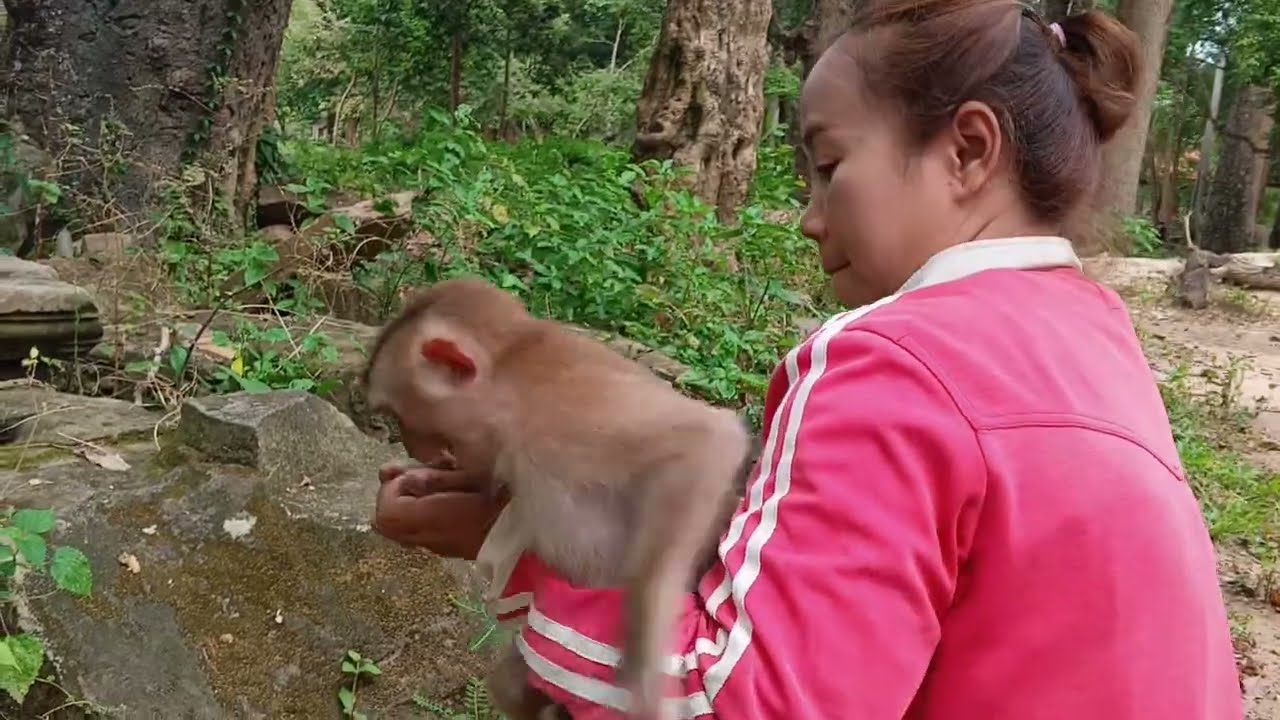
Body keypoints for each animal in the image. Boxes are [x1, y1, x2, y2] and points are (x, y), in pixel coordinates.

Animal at [362, 276, 753, 720]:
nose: (415, 448)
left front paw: (644, 663)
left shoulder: (564, 414)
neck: (511, 375)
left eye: (401, 417)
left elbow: (706, 442)